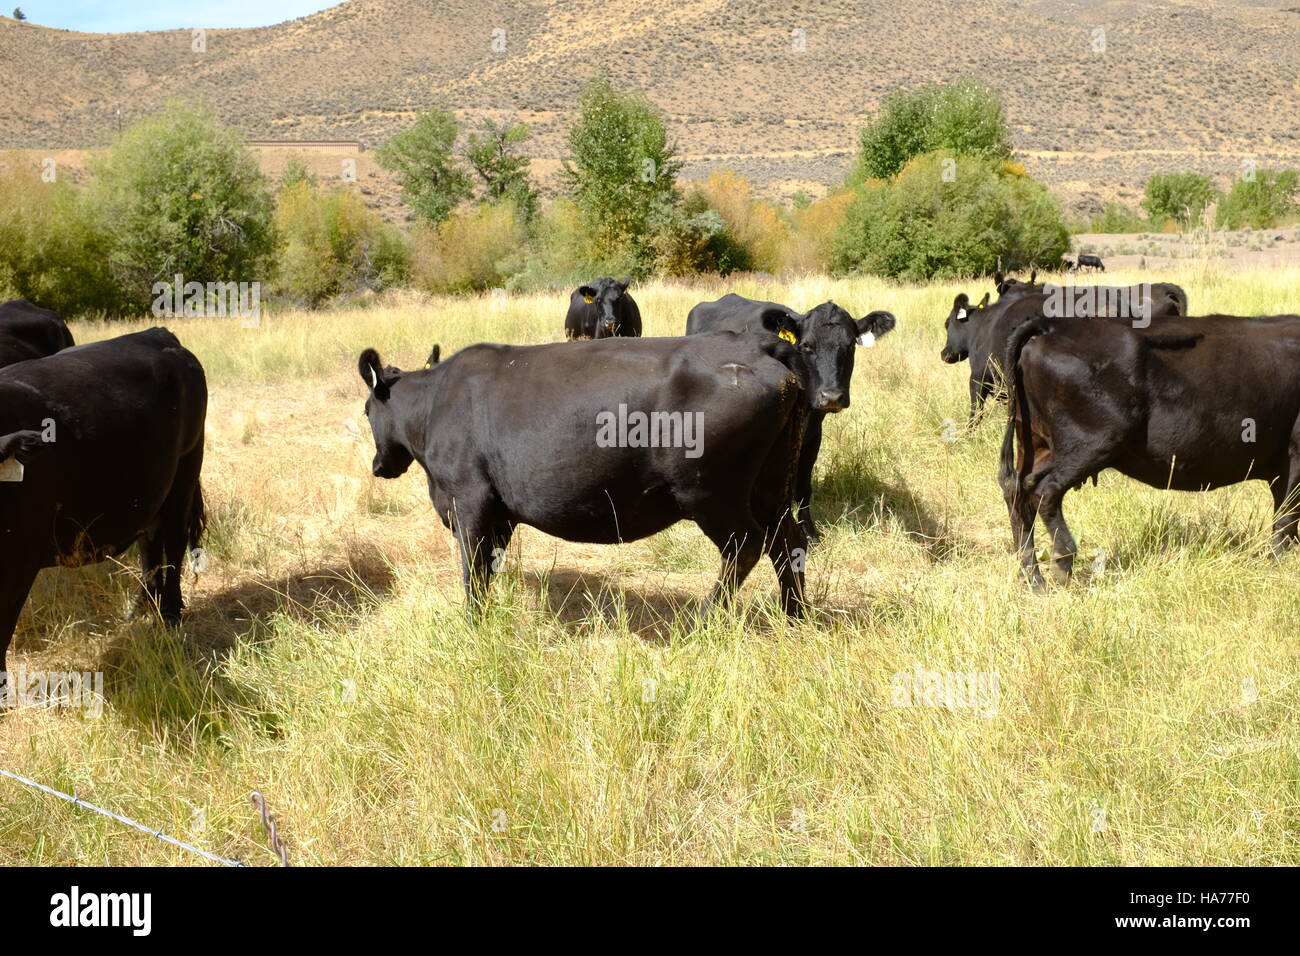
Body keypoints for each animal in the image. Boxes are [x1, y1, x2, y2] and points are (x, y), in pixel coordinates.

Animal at [0, 328, 207, 700]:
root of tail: (158, 334)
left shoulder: (18, 563)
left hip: (185, 469)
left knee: (173, 542)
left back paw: (170, 616)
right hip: (150, 488)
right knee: (150, 543)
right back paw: (140, 609)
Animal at [357, 331, 810, 618]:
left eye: (366, 410)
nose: (379, 466)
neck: (433, 405)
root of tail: (759, 346)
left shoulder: (468, 500)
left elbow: (473, 571)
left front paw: (473, 621)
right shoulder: (499, 514)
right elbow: (490, 566)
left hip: (709, 493)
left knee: (745, 545)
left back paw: (702, 619)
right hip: (769, 485)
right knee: (788, 540)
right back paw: (796, 615)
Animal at [685, 293, 897, 544]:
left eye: (851, 345)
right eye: (806, 346)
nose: (832, 396)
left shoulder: (814, 433)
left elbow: (803, 487)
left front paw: (810, 533)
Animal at [999, 313, 1300, 588]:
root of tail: (1052, 325)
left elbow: (1284, 515)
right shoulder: (1295, 457)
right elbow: (1287, 517)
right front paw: (1276, 565)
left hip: (1036, 443)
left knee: (1018, 491)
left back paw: (1032, 578)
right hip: (1091, 443)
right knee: (1045, 491)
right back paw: (1062, 563)